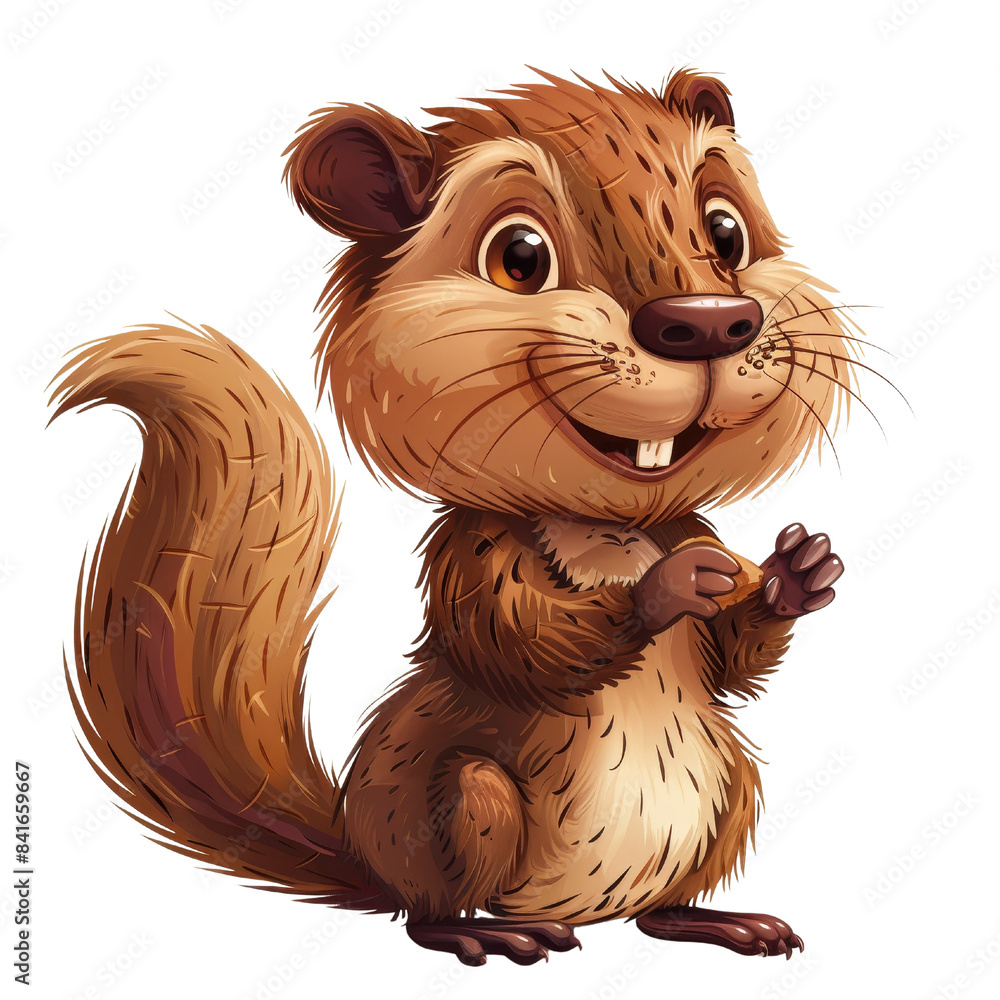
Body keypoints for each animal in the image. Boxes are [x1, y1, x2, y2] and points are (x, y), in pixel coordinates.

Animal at [51, 69, 857, 966]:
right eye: (520, 257)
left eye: (726, 230)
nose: (712, 319)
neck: (615, 526)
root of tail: (362, 855)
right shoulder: (474, 552)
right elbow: (521, 638)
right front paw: (665, 587)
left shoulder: (690, 528)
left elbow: (729, 662)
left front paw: (795, 576)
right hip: (467, 806)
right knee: (427, 910)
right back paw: (494, 932)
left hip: (734, 787)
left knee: (659, 910)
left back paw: (719, 921)